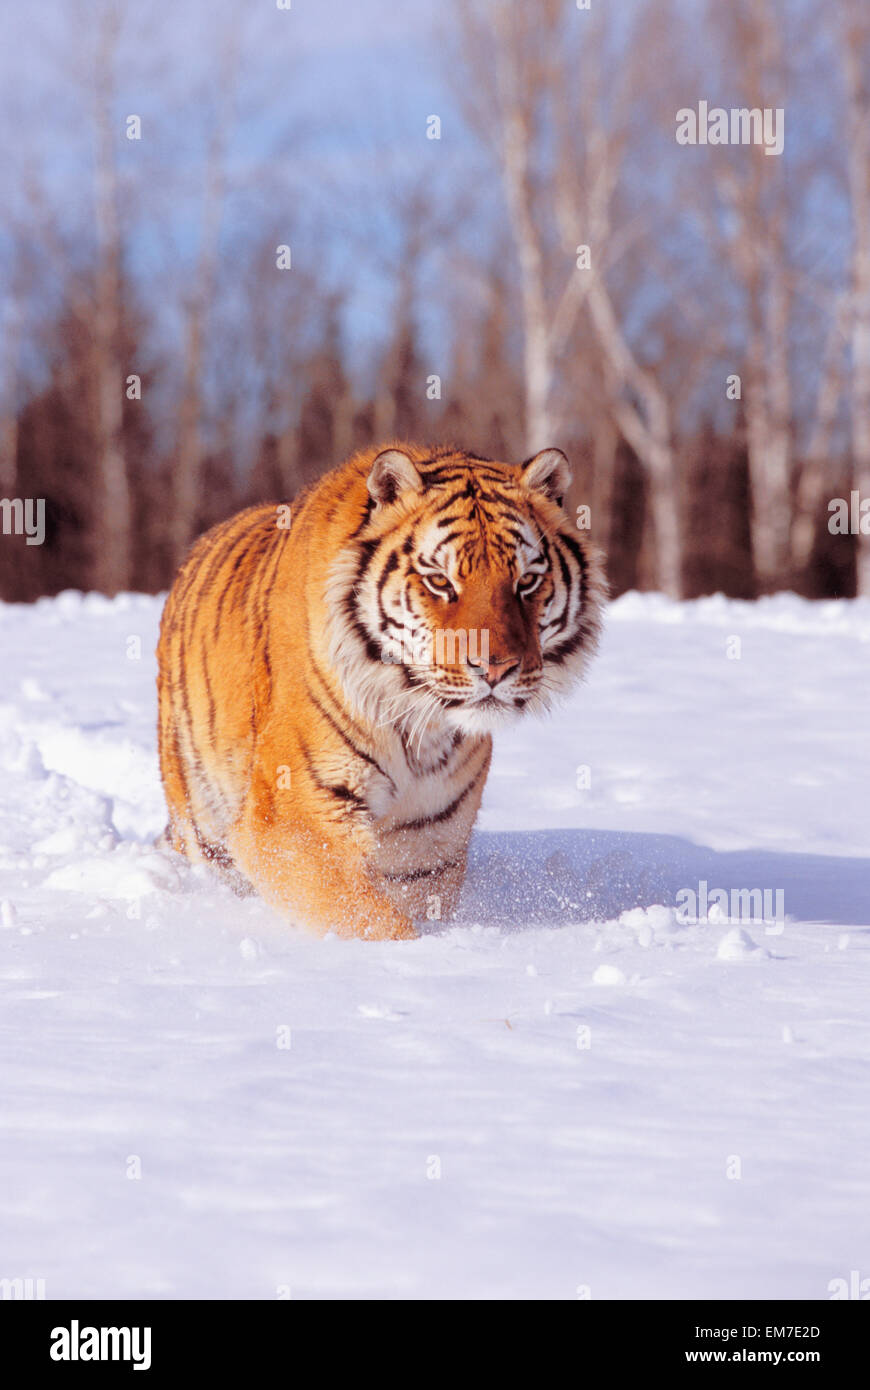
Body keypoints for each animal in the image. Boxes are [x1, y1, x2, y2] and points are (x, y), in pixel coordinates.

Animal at [156, 442, 606, 940]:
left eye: (526, 582)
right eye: (440, 581)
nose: (496, 667)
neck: (420, 728)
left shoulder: (424, 840)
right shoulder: (292, 816)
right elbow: (369, 918)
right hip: (199, 816)